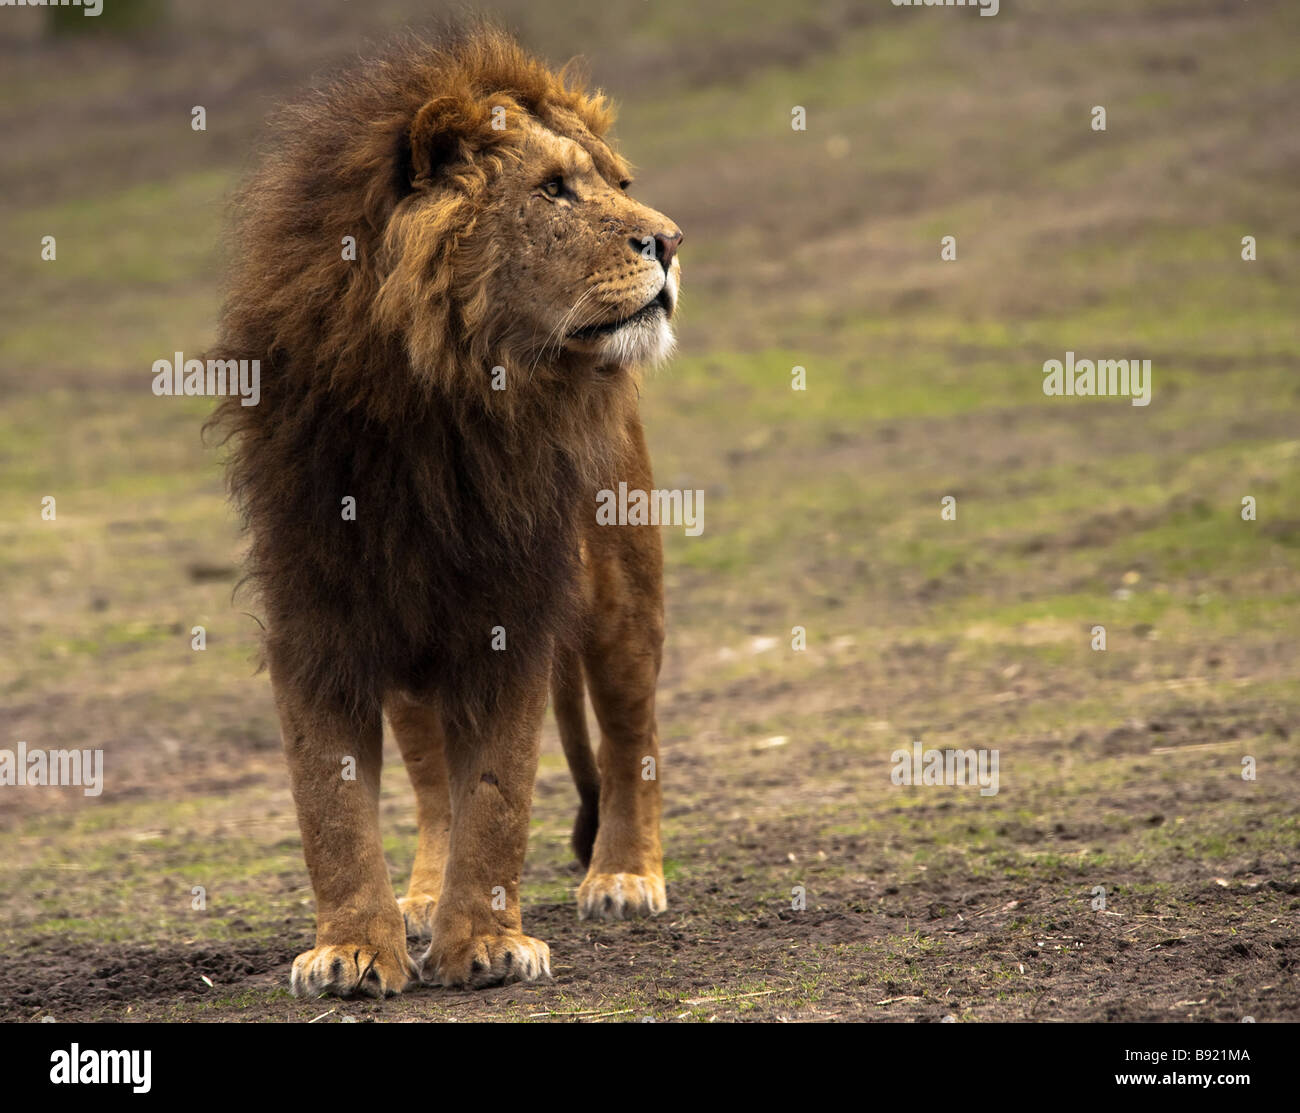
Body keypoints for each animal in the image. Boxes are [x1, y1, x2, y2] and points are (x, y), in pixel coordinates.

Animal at [207, 24, 681, 996]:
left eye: (617, 183)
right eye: (552, 190)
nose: (673, 239)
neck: (441, 401)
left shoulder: (511, 613)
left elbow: (498, 794)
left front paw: (489, 945)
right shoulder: (321, 616)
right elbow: (332, 803)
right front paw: (354, 947)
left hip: (622, 595)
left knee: (632, 737)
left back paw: (625, 875)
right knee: (430, 784)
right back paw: (421, 895)